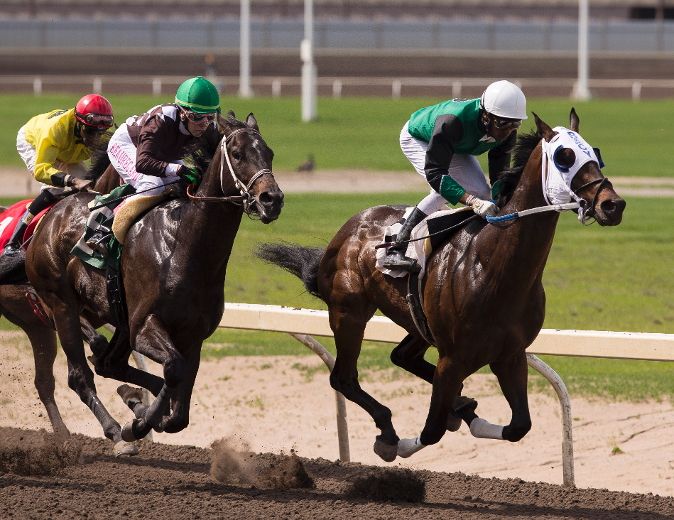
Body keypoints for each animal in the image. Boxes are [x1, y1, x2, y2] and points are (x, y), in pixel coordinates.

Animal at [24, 112, 284, 449]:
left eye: (270, 154)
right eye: (238, 155)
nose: (272, 199)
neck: (185, 245)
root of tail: (49, 216)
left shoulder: (193, 335)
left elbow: (180, 405)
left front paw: (148, 414)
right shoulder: (145, 326)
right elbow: (174, 369)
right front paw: (138, 424)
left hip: (119, 318)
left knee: (110, 364)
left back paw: (133, 400)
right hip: (62, 305)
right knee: (81, 375)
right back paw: (115, 430)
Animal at [257, 109, 625, 462]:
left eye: (595, 153)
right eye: (564, 156)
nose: (613, 204)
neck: (494, 268)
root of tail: (349, 228)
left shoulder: (510, 355)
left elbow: (519, 425)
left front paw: (467, 414)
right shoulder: (453, 358)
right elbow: (431, 430)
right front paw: (403, 444)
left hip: (416, 321)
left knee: (402, 357)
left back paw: (458, 408)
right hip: (349, 313)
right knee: (344, 378)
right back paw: (391, 430)